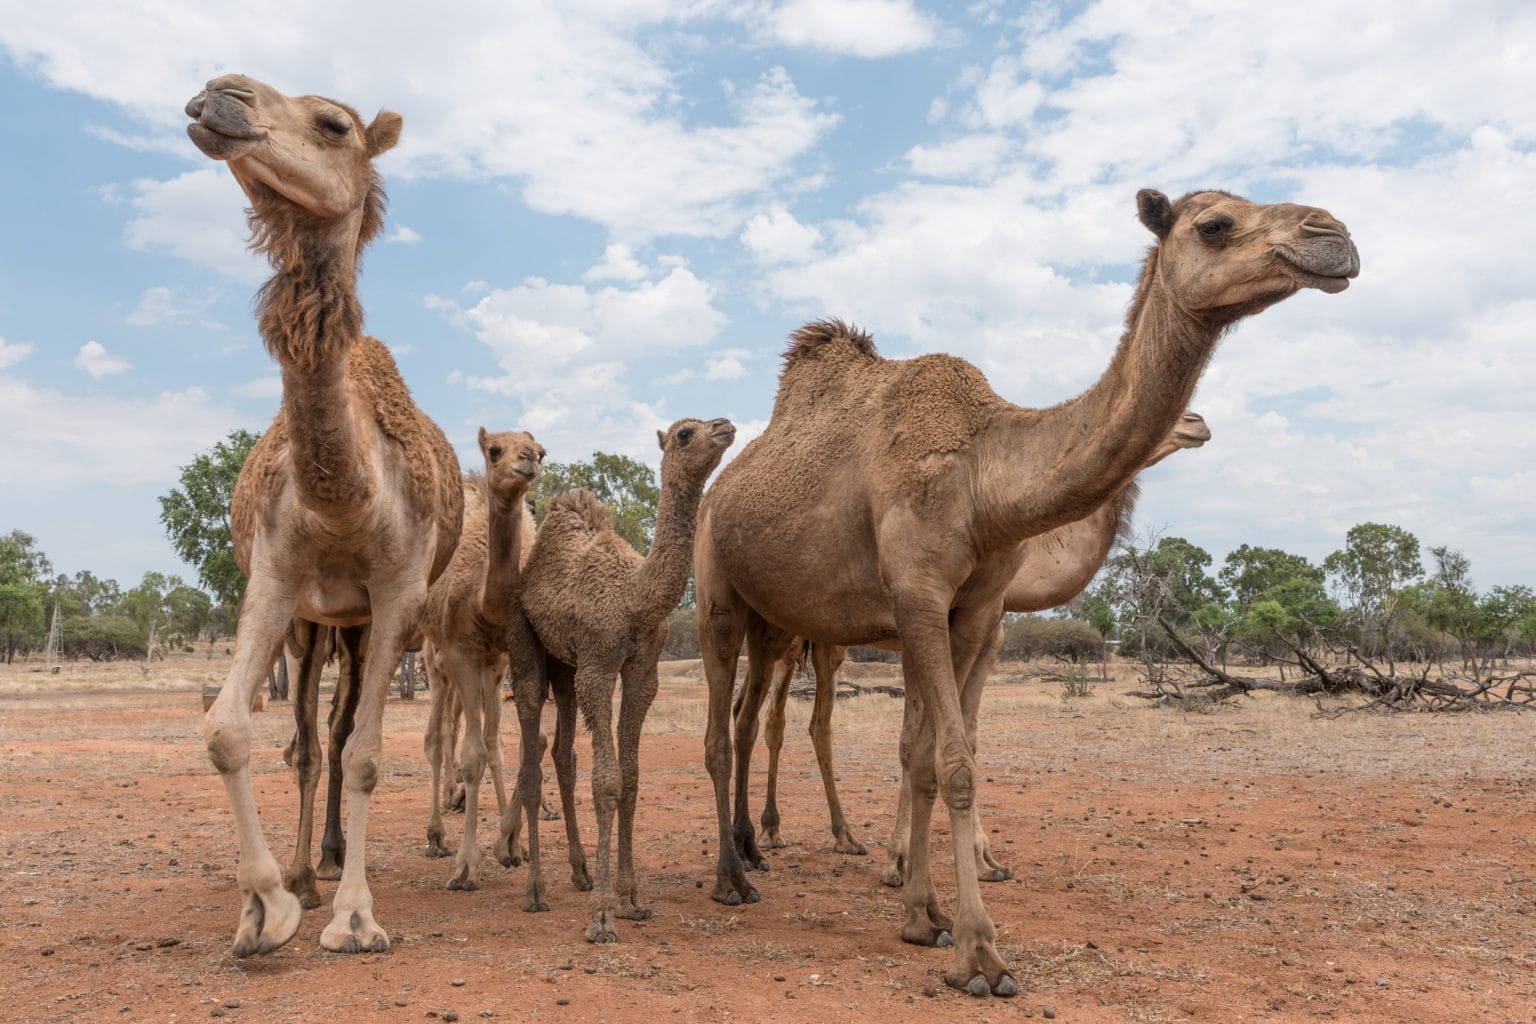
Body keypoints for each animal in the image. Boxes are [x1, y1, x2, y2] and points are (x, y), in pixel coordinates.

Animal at [189, 75, 463, 957]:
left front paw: (355, 917)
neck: (345, 495)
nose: (219, 95)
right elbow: (229, 730)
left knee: (340, 738)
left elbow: (370, 752)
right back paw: (308, 871)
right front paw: (266, 905)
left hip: (360, 623)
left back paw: (334, 867)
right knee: (310, 741)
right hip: (316, 628)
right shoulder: (276, 578)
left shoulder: (398, 593)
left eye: (334, 125)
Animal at [419, 429, 547, 891]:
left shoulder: (507, 657)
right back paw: (437, 836)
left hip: (491, 671)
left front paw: (510, 844)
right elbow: (470, 755)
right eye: (494, 450)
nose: (528, 460)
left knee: (491, 742)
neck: (485, 602)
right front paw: (466, 866)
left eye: (541, 450)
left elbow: (514, 745)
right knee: (437, 738)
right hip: (435, 659)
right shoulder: (460, 656)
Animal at [508, 417, 736, 942]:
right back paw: (535, 892)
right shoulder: (597, 666)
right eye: (685, 433)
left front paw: (631, 899)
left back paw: (579, 872)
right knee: (530, 758)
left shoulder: (641, 671)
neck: (633, 599)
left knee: (563, 754)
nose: (725, 426)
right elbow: (607, 781)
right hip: (525, 644)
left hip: (565, 668)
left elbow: (630, 778)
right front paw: (601, 917)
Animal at [739, 412, 1211, 877]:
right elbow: (910, 742)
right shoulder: (918, 633)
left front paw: (985, 859)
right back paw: (782, 835)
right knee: (782, 718)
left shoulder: (990, 636)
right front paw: (900, 859)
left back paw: (815, 834)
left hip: (816, 643)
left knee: (791, 719)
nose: (1198, 423)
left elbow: (967, 732)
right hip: (794, 636)